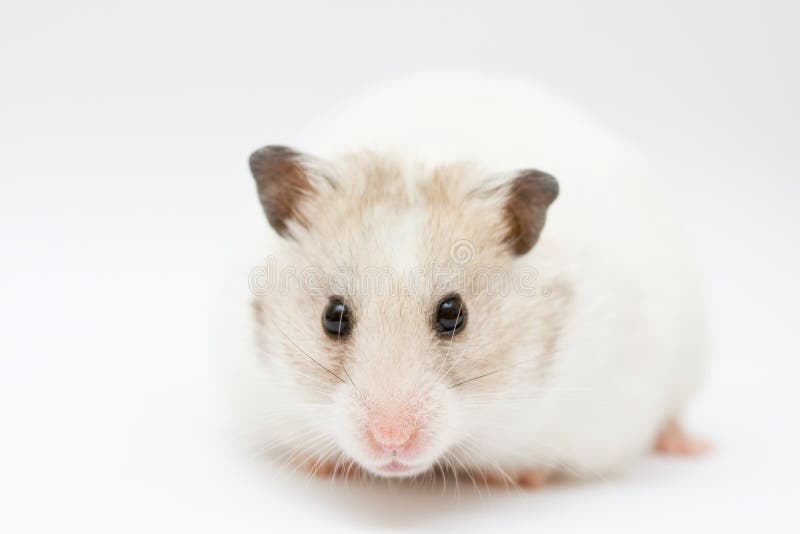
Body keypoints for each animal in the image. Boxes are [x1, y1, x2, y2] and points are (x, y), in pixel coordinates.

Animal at [223, 71, 709, 486]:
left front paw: (523, 478)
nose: (392, 441)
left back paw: (692, 446)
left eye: (454, 314)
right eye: (332, 315)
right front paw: (317, 465)